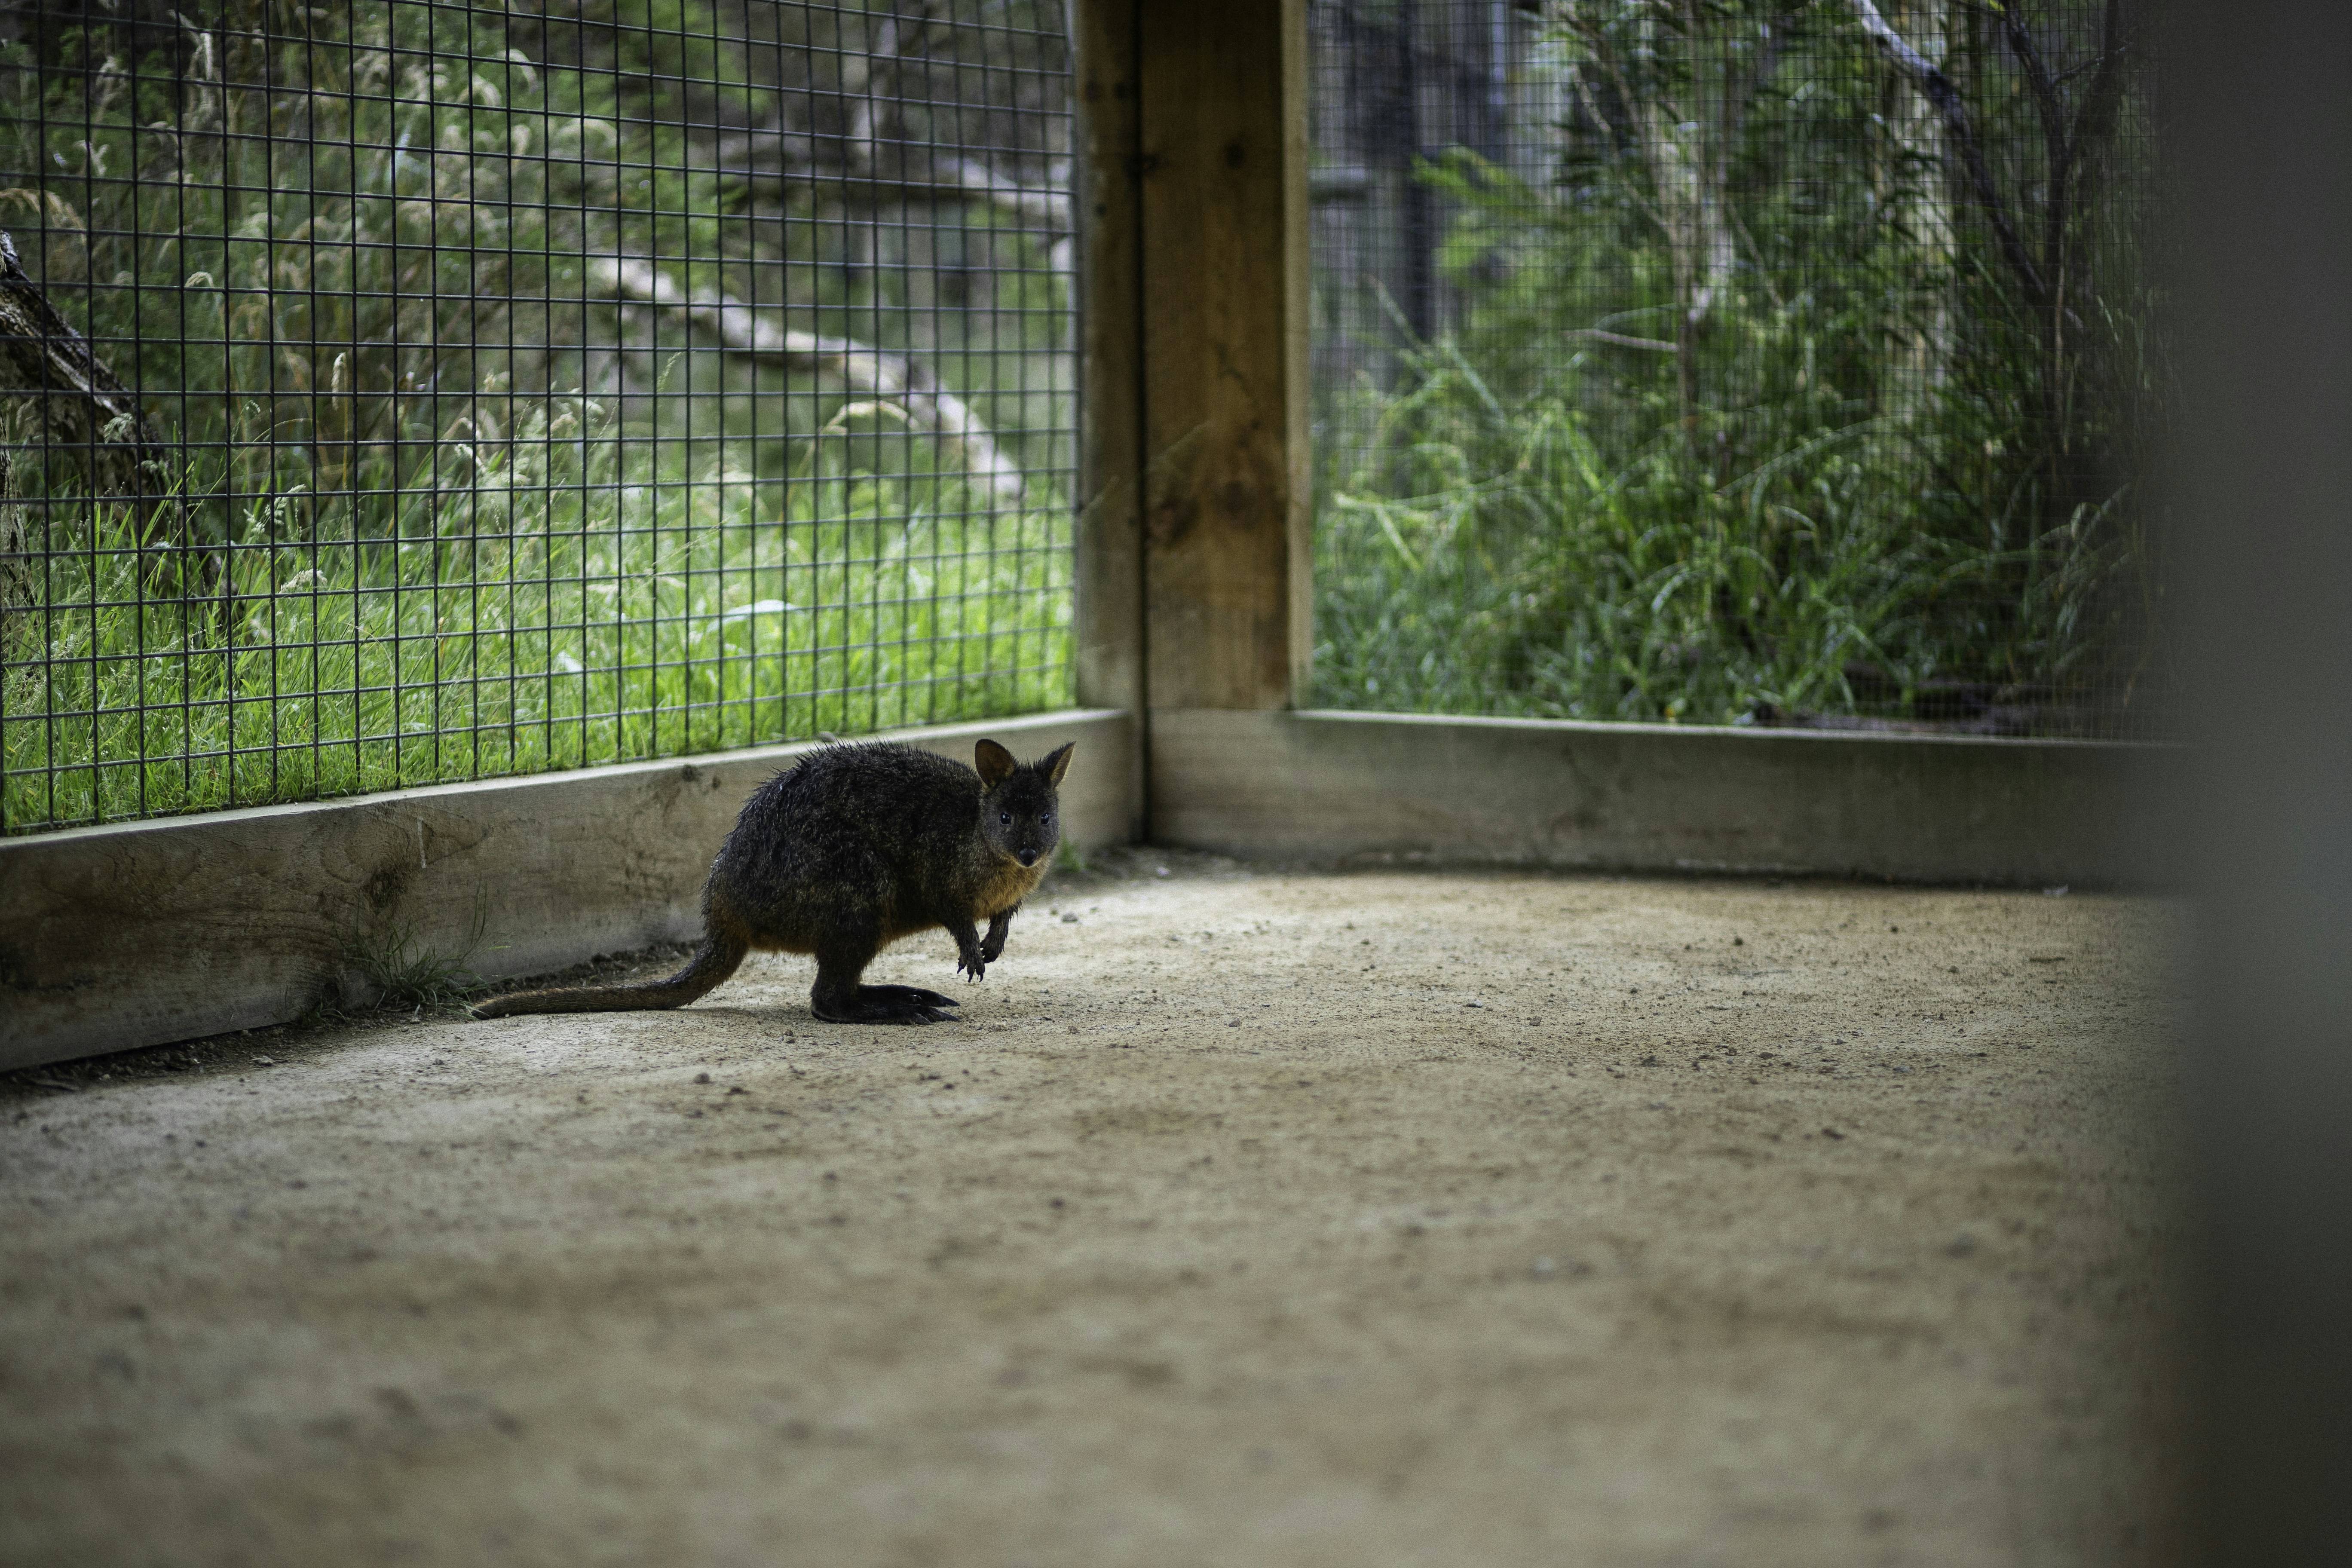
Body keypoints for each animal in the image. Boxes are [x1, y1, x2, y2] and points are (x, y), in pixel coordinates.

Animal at [471, 737, 1075, 1026]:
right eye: (1005, 817)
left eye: (1046, 817)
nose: (1029, 854)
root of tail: (724, 917)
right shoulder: (939, 873)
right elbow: (952, 912)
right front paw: (973, 952)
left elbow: (1004, 915)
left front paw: (994, 942)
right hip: (855, 887)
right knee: (826, 999)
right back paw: (900, 1009)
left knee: (835, 989)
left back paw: (904, 996)